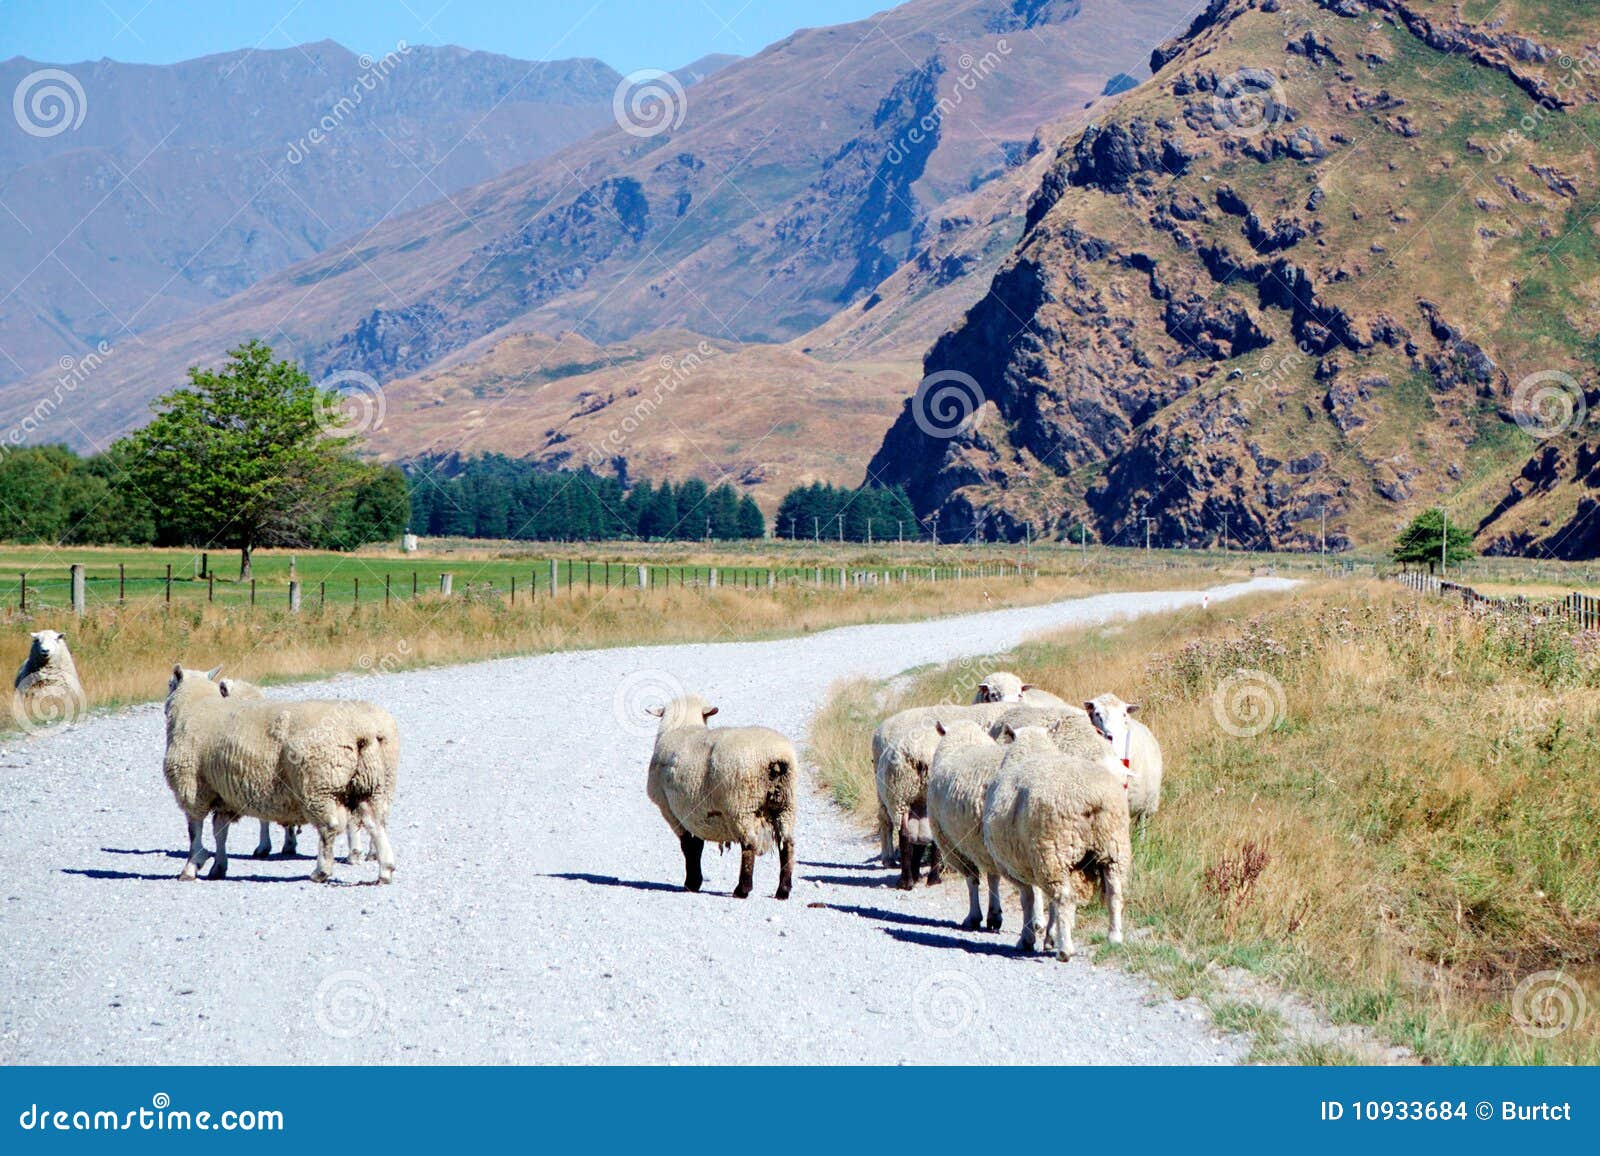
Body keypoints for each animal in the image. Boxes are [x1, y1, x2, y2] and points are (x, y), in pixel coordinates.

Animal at [163, 665, 399, 884]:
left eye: (169, 684)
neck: (196, 706)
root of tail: (363, 730)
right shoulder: (224, 793)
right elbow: (220, 831)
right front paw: (218, 867)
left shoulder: (192, 787)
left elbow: (195, 831)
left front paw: (191, 866)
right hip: (371, 784)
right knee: (375, 822)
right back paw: (384, 870)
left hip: (318, 784)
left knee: (330, 827)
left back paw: (321, 871)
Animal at [646, 694, 796, 899]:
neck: (682, 725)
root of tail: (775, 758)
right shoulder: (694, 813)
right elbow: (696, 845)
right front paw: (694, 881)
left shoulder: (670, 810)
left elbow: (689, 846)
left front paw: (692, 882)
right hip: (786, 805)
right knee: (787, 844)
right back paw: (783, 890)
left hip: (741, 806)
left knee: (749, 844)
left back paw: (742, 889)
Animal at [926, 720, 1007, 930]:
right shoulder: (982, 848)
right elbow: (993, 878)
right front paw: (993, 915)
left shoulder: (952, 843)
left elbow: (972, 879)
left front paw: (975, 916)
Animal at [982, 726, 1131, 960]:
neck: (1034, 748)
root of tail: (1093, 799)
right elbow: (1047, 903)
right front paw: (1050, 936)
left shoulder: (1013, 868)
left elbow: (1028, 900)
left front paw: (1028, 938)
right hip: (1114, 849)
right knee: (1115, 893)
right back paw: (1114, 938)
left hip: (1052, 852)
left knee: (1064, 898)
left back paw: (1065, 949)